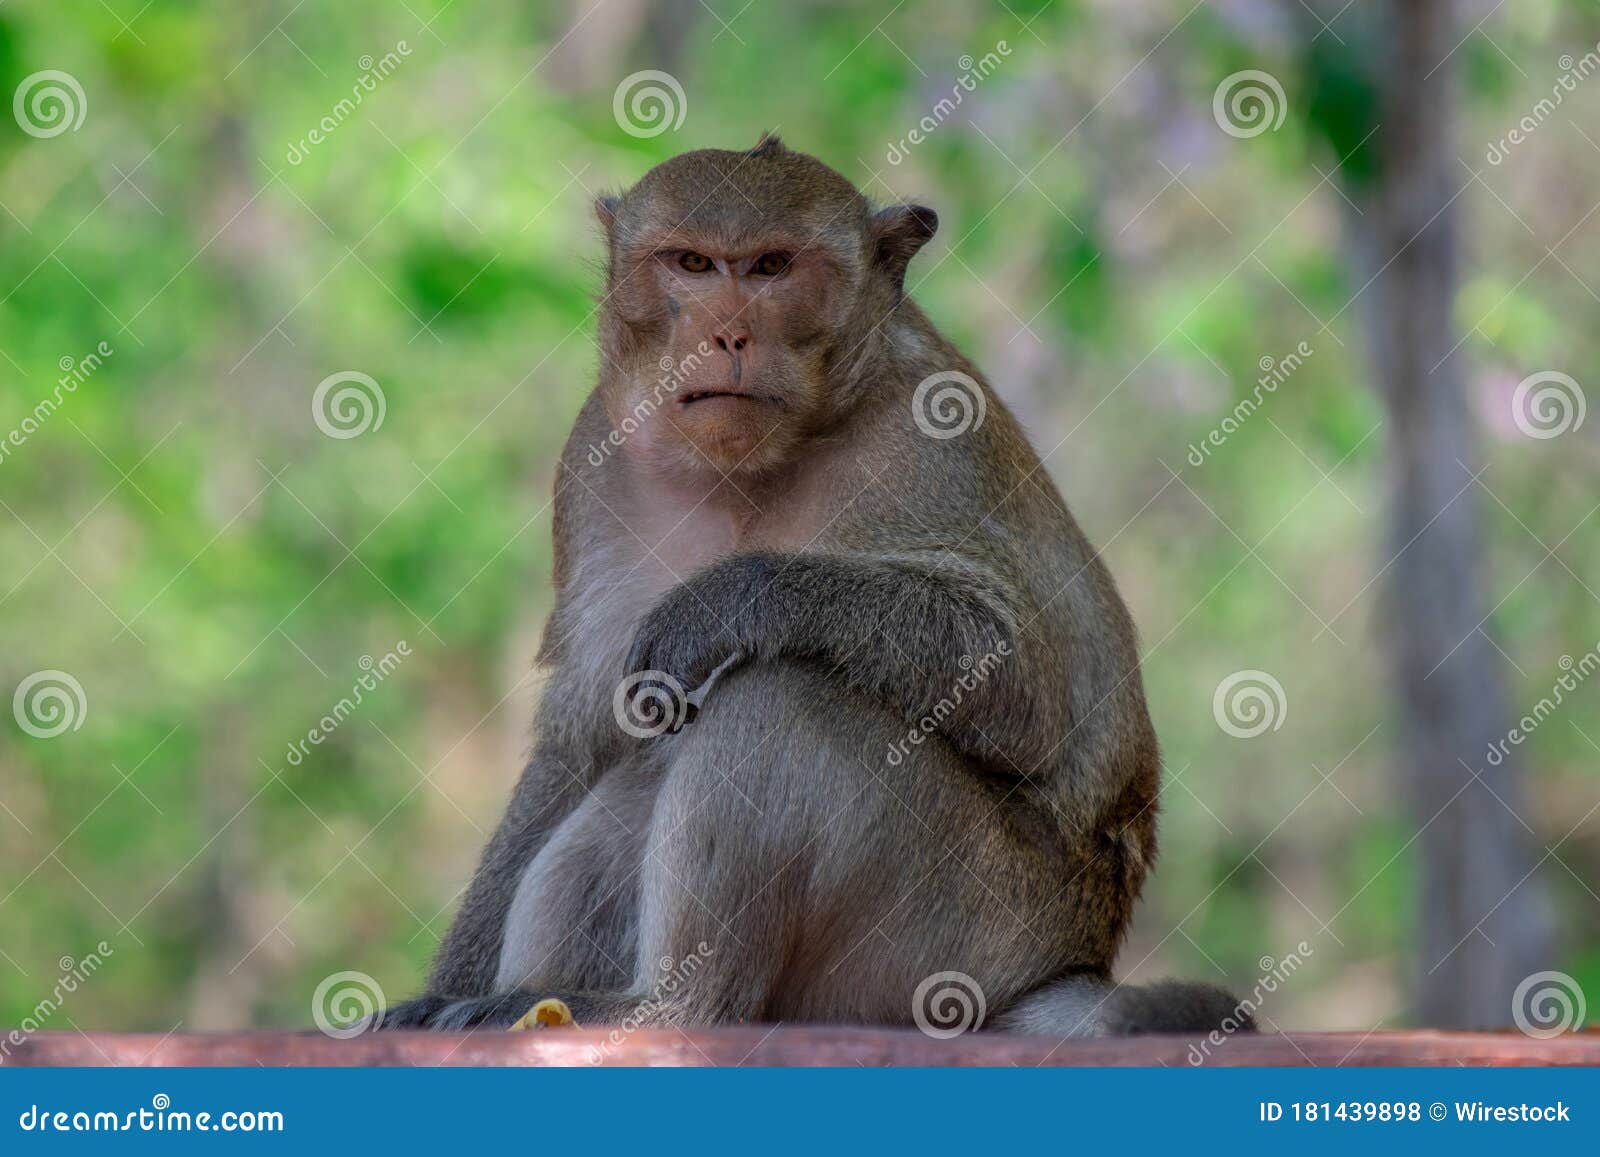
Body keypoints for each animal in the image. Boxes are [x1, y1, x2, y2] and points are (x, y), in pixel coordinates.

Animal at [375, 135, 1249, 1039]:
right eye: (691, 263)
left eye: (771, 267)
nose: (726, 332)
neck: (753, 470)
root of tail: (1065, 962)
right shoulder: (594, 461)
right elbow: (584, 737)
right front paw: (440, 988)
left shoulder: (936, 435)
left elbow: (1029, 685)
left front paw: (730, 599)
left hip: (968, 925)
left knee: (785, 696)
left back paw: (667, 1005)